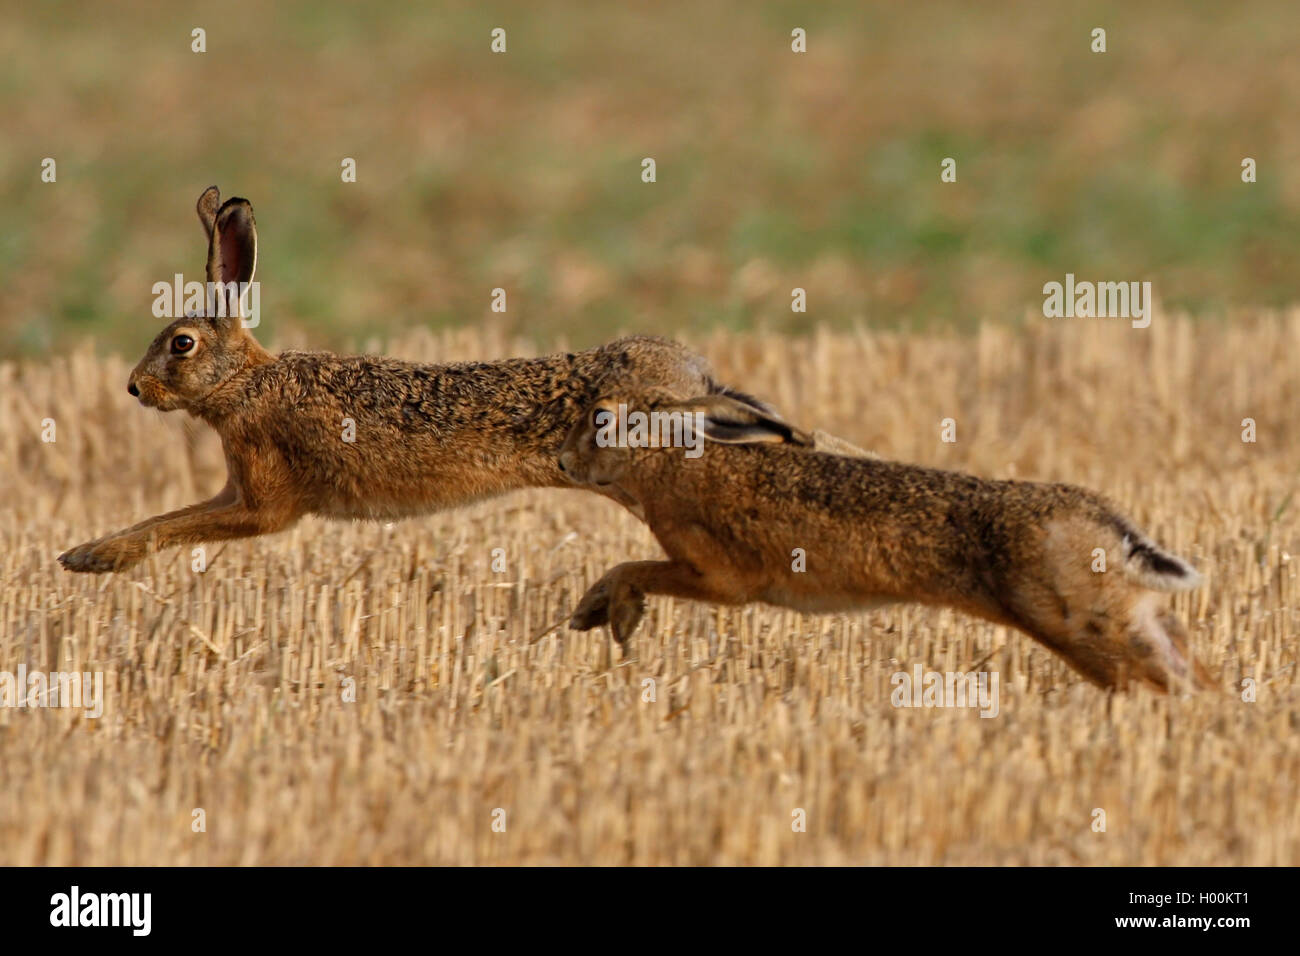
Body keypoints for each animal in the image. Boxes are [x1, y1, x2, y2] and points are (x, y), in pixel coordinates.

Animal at [59, 186, 863, 574]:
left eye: (181, 344)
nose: (134, 389)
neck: (244, 385)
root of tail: (678, 362)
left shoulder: (265, 503)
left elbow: (183, 524)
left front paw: (92, 559)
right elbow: (174, 516)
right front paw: (86, 552)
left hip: (648, 420)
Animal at [559, 389, 1213, 692]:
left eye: (603, 421)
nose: (563, 461)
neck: (664, 460)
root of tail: (1105, 524)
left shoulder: (717, 578)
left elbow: (633, 568)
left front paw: (612, 617)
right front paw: (591, 614)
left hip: (1073, 620)